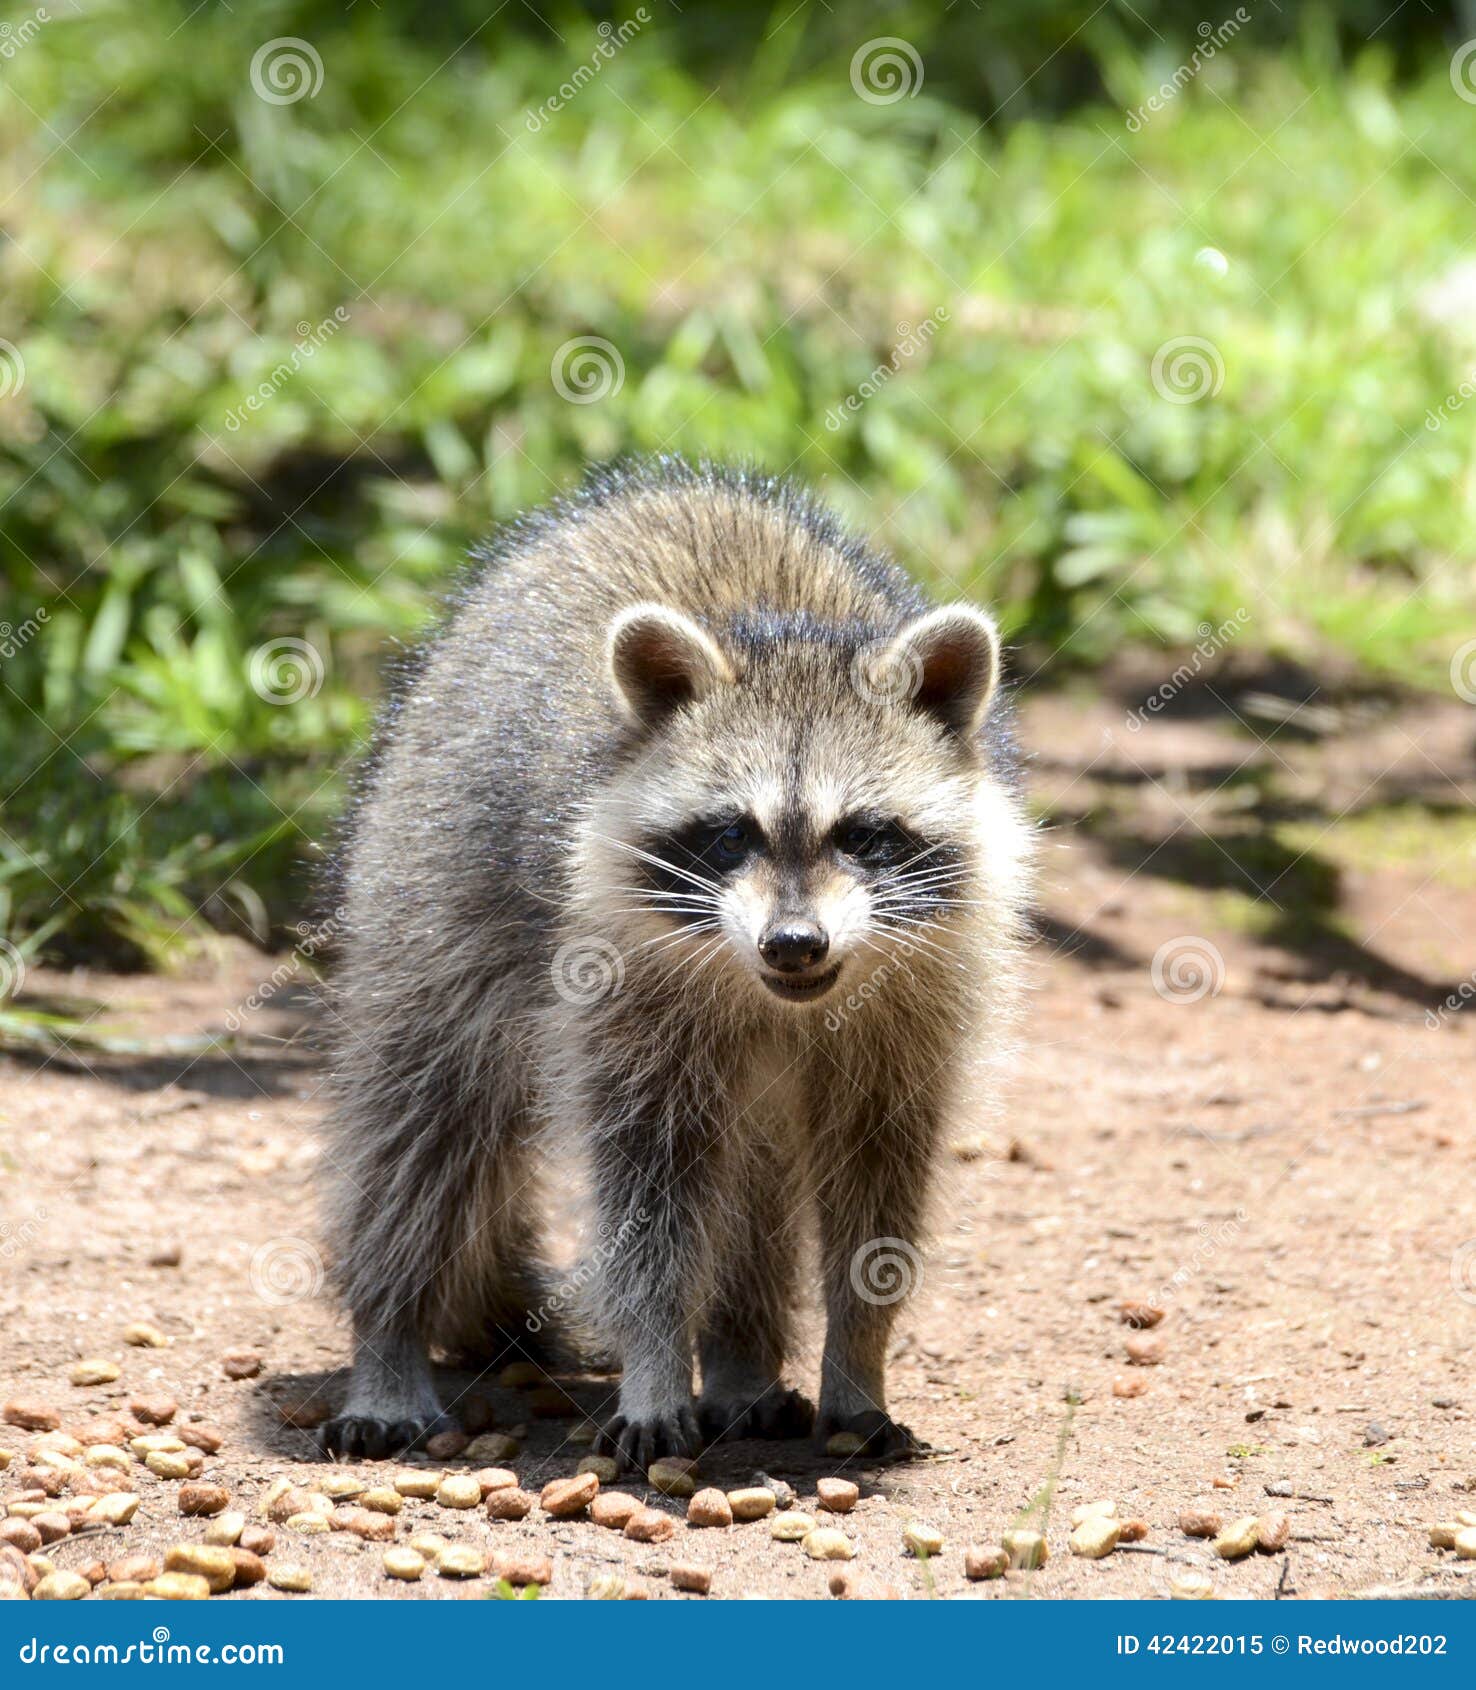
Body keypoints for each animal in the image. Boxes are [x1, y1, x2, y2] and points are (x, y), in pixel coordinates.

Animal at [318, 459, 1032, 1468]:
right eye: (731, 835)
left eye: (863, 835)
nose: (794, 944)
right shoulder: (616, 981)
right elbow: (646, 1199)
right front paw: (655, 1364)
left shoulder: (920, 1003)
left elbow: (878, 1190)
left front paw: (858, 1359)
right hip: (426, 881)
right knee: (422, 1123)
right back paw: (389, 1338)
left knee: (755, 1182)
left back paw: (740, 1359)